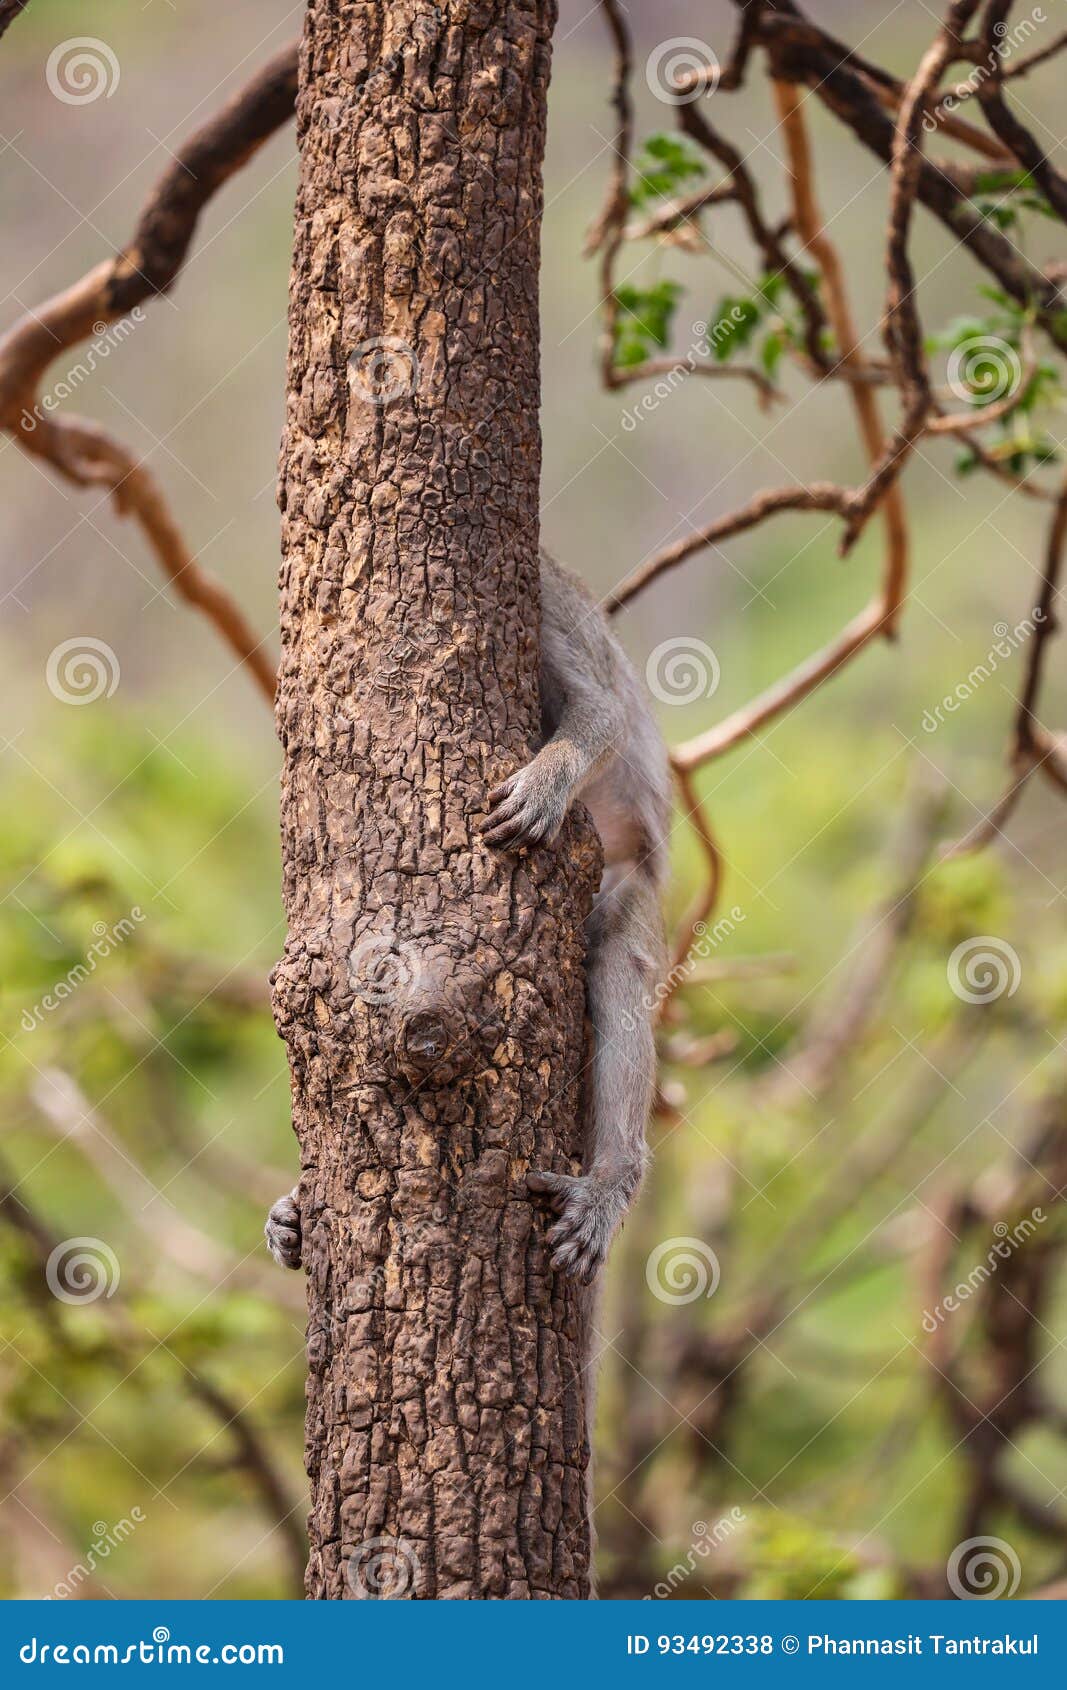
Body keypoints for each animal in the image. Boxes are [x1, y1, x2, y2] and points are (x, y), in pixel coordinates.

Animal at [265, 548, 670, 1285]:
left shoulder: (543, 597)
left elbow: (602, 710)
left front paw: (546, 780)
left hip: (630, 884)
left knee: (619, 966)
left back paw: (609, 1183)